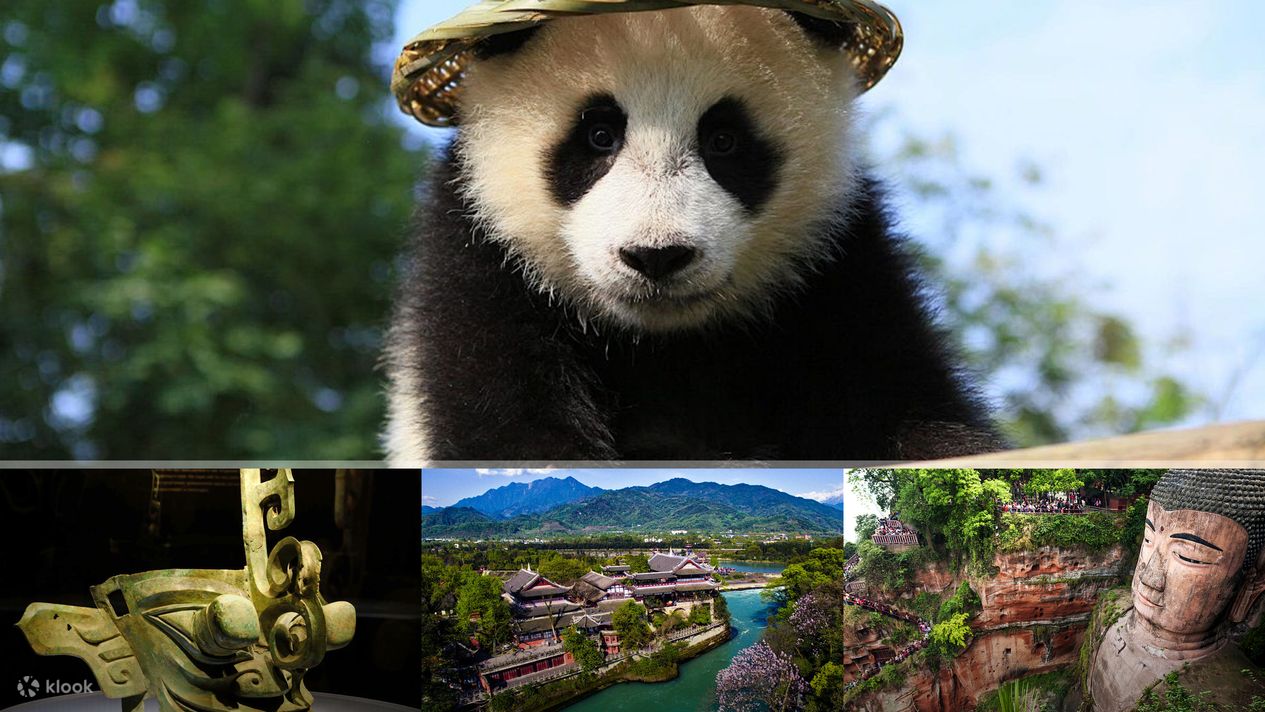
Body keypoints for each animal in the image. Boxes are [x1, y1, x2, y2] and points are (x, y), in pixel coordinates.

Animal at [385, 5, 1004, 463]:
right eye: (600, 135)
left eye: (723, 140)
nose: (656, 257)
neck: (661, 340)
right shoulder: (481, 258)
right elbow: (506, 429)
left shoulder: (838, 259)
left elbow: (913, 407)